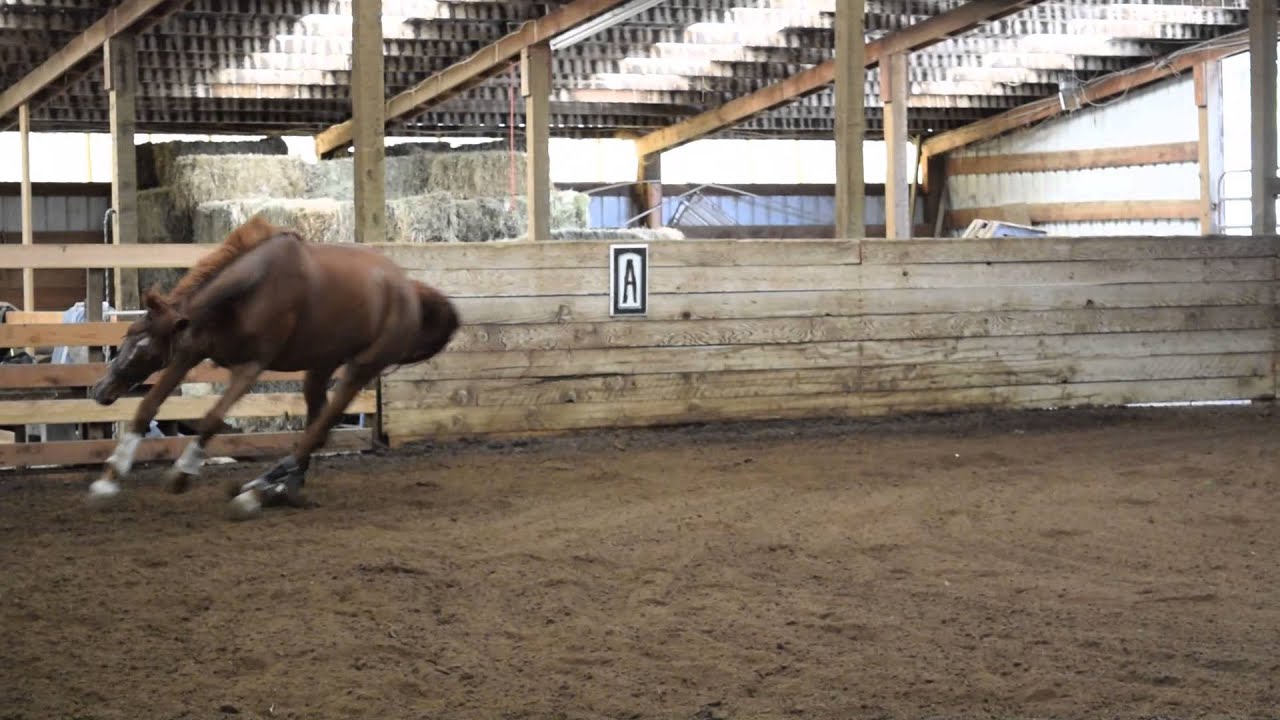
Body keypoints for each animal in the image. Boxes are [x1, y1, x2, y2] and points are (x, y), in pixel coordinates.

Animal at [87, 215, 460, 520]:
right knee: (316, 426)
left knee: (320, 427)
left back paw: (257, 494)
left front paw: (182, 473)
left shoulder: (251, 366)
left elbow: (212, 418)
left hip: (362, 367)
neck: (250, 291)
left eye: (146, 351)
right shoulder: (188, 352)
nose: (100, 391)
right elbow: (147, 406)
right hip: (320, 368)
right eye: (129, 335)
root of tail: (410, 291)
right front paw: (110, 479)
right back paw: (277, 487)